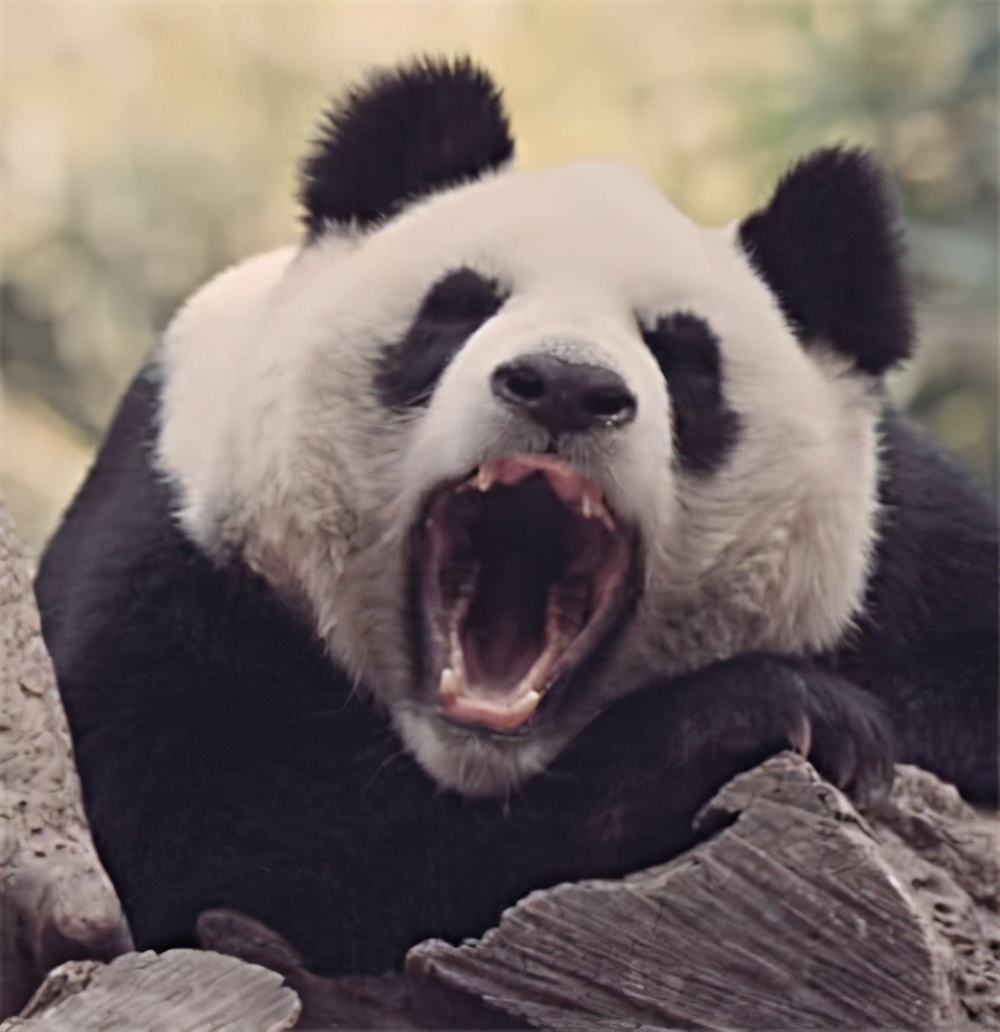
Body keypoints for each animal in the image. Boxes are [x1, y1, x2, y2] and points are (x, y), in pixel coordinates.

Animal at [36, 58, 997, 977]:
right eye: (461, 307)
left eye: (685, 358)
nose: (565, 386)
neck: (470, 752)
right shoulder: (175, 553)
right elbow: (238, 825)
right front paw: (771, 716)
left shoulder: (909, 543)